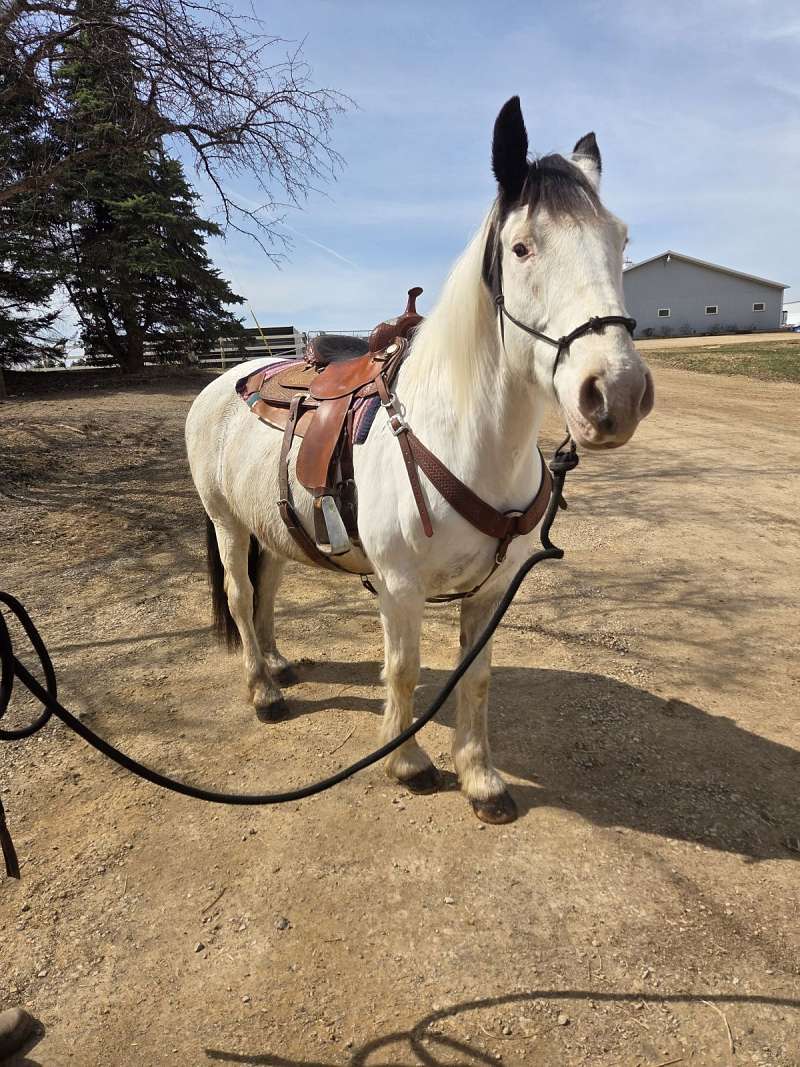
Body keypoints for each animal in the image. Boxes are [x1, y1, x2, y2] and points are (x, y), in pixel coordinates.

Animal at [185, 96, 654, 824]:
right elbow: (403, 671)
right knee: (239, 594)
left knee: (266, 594)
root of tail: (222, 381)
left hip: (274, 527)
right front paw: (406, 763)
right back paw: (263, 691)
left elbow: (477, 677)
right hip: (228, 524)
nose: (617, 394)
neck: (460, 436)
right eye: (522, 246)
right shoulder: (400, 587)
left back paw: (279, 663)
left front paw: (480, 777)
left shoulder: (492, 589)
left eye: (621, 241)